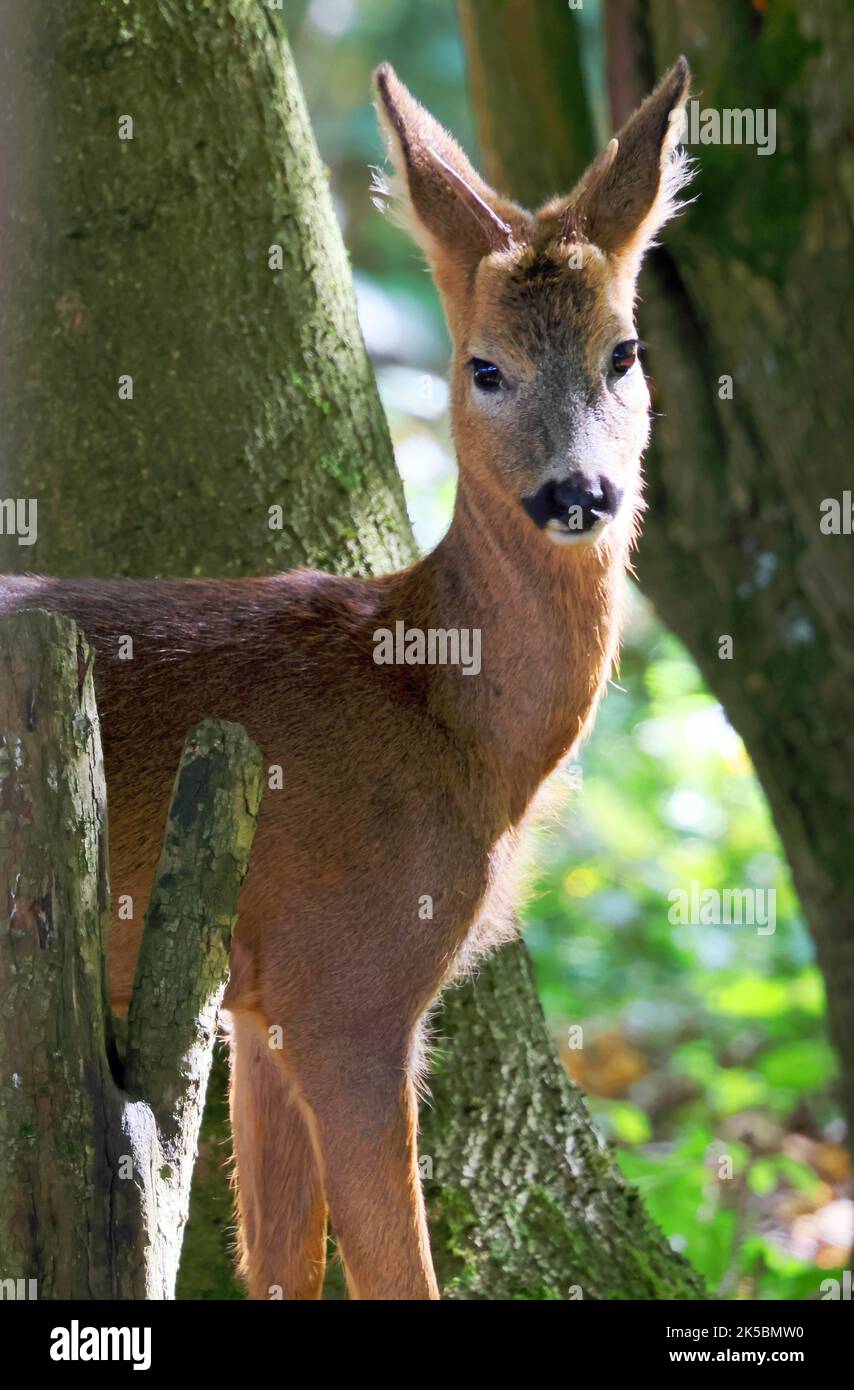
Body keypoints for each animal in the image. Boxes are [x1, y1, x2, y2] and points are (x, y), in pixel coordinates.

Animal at [0, 58, 692, 1300]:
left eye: (622, 352)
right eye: (484, 367)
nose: (578, 492)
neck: (439, 714)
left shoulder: (254, 1006)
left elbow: (280, 1261)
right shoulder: (346, 987)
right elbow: (396, 1275)